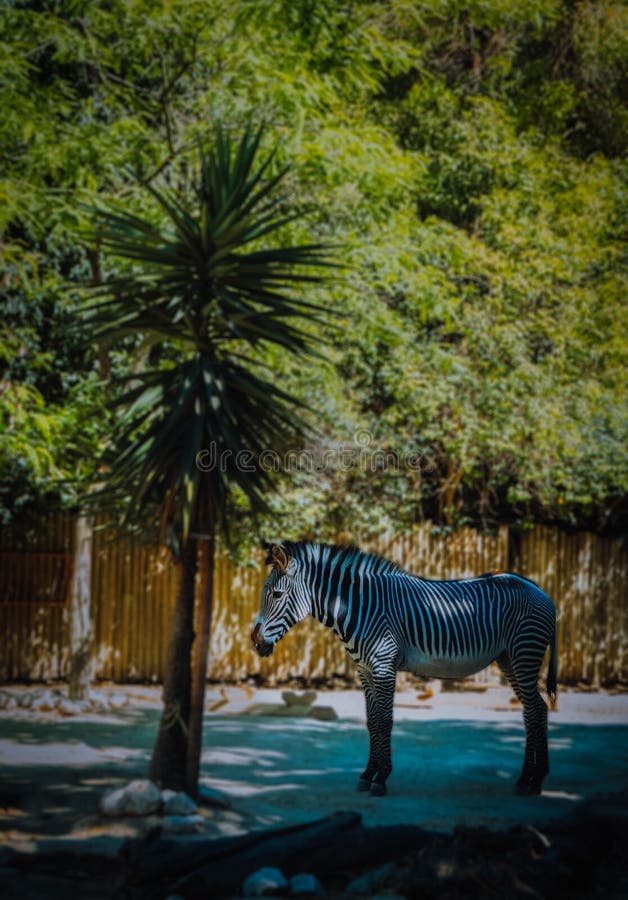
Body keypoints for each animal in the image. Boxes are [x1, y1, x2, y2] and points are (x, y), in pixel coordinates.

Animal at [251, 541, 558, 797]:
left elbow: (385, 721)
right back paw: (527, 779)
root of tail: (541, 590)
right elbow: (372, 721)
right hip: (510, 659)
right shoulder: (365, 671)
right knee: (534, 711)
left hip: (524, 652)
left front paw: (381, 778)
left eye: (276, 594)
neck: (360, 609)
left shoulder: (384, 667)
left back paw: (535, 780)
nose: (255, 642)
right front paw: (367, 774)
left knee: (535, 710)